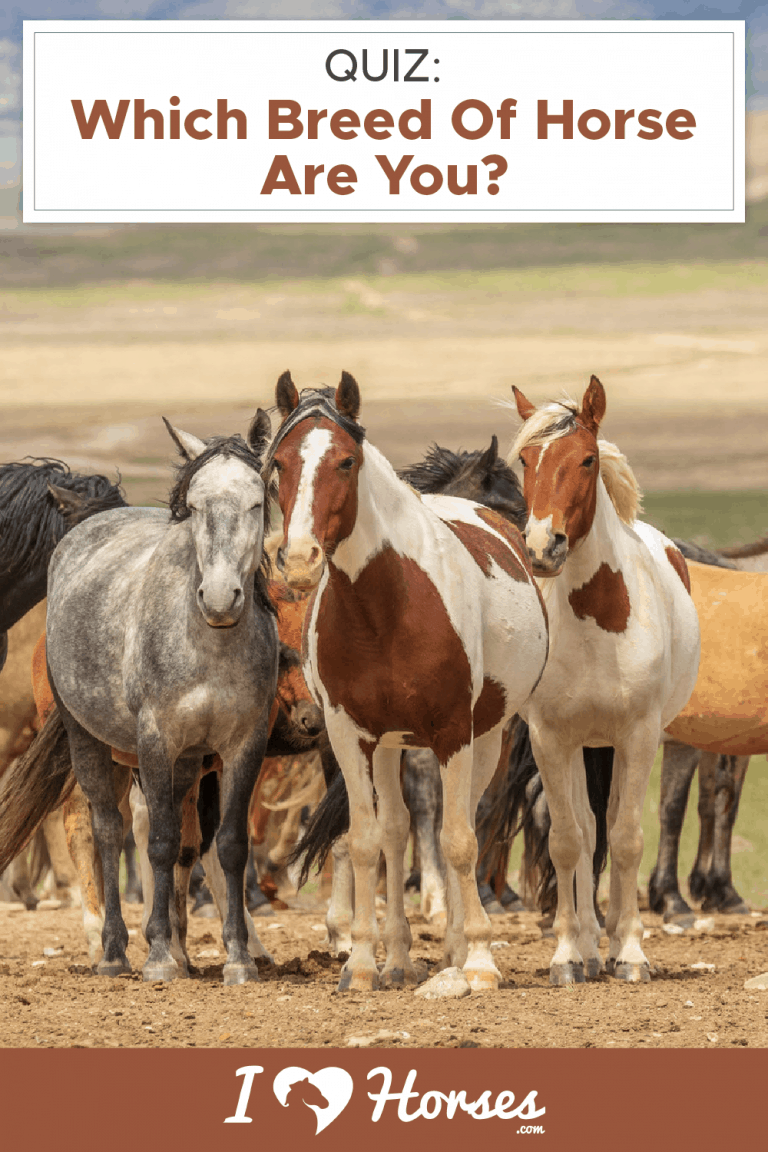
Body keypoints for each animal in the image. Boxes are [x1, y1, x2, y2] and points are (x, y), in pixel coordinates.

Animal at [41, 413, 278, 984]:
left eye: (256, 502)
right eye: (193, 505)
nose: (220, 599)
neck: (209, 643)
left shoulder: (244, 745)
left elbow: (228, 844)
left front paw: (238, 958)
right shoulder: (155, 741)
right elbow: (160, 842)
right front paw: (159, 958)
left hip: (189, 763)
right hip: (89, 739)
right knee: (109, 830)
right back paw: (114, 952)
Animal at [267, 370, 548, 992]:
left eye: (346, 461)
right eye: (278, 462)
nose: (299, 559)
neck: (386, 606)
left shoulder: (453, 733)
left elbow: (458, 841)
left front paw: (478, 958)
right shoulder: (351, 736)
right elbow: (369, 841)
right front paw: (362, 963)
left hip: (485, 739)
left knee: (460, 826)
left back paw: (455, 950)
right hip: (391, 746)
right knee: (397, 833)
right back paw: (397, 957)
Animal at [509, 376, 700, 984]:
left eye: (587, 459)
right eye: (526, 460)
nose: (542, 547)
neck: (598, 618)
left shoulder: (638, 735)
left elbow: (627, 837)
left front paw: (633, 952)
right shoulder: (551, 739)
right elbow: (570, 840)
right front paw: (570, 955)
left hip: (613, 744)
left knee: (613, 826)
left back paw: (615, 941)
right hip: (580, 748)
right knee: (588, 830)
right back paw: (595, 946)